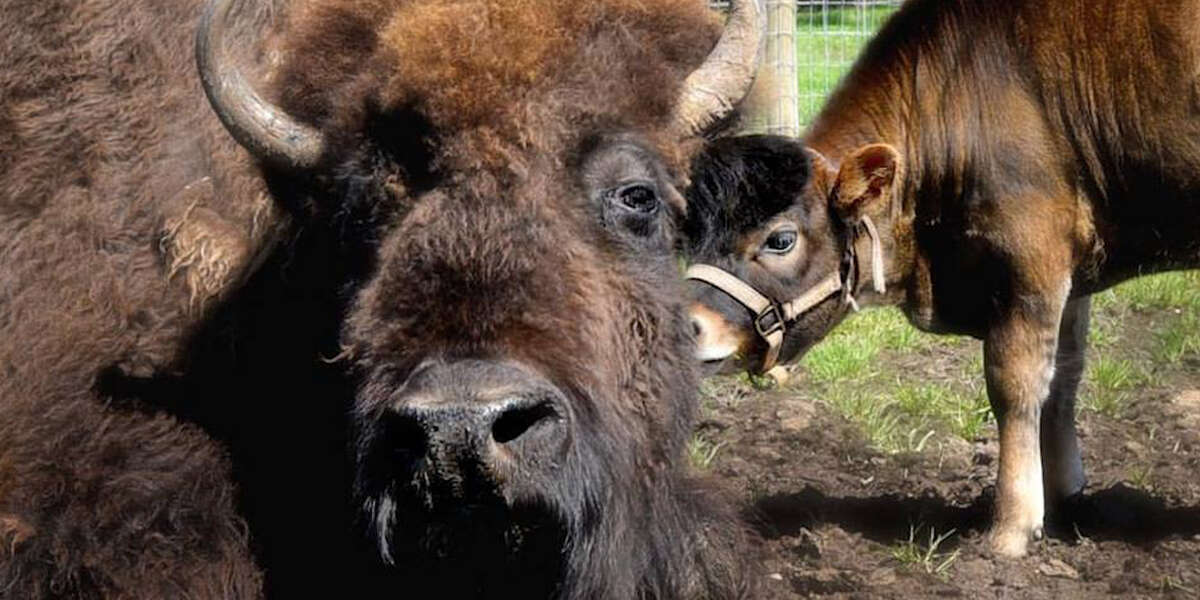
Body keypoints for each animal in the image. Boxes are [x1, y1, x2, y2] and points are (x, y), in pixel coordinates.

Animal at [684, 0, 1200, 558]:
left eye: (780, 239)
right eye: (696, 227)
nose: (690, 324)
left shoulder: (1032, 258)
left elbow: (1016, 384)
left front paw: (1012, 527)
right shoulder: (1073, 267)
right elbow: (1064, 376)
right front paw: (1066, 497)